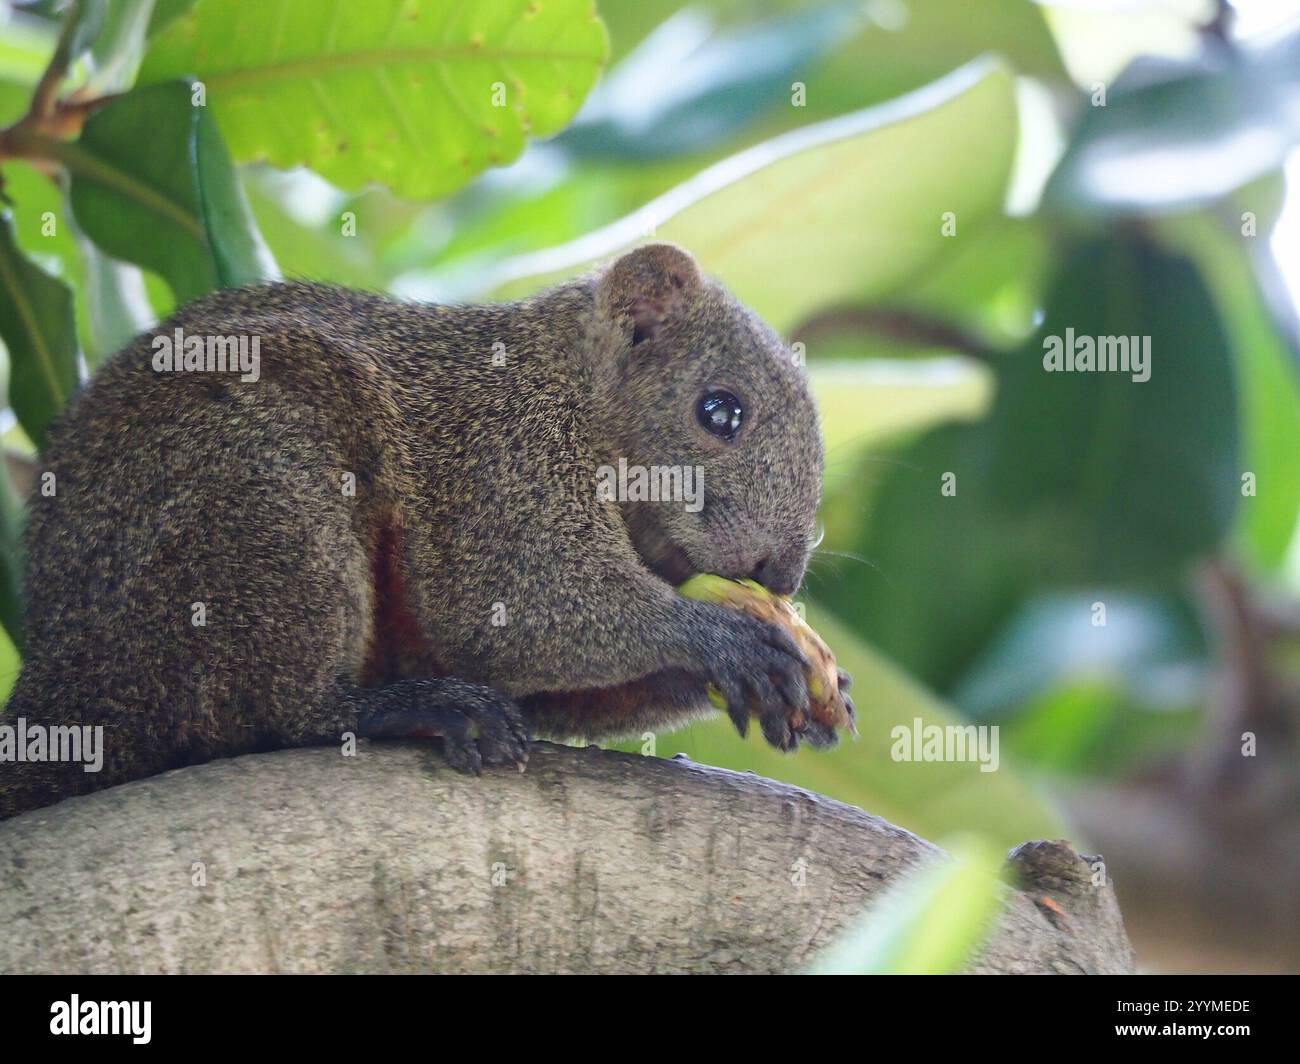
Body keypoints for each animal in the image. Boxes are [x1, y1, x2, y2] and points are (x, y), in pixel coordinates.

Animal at [0, 243, 844, 820]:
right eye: (720, 412)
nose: (777, 574)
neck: (576, 390)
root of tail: (60, 679)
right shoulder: (505, 453)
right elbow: (511, 610)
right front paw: (721, 640)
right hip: (256, 479)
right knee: (263, 713)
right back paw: (397, 712)